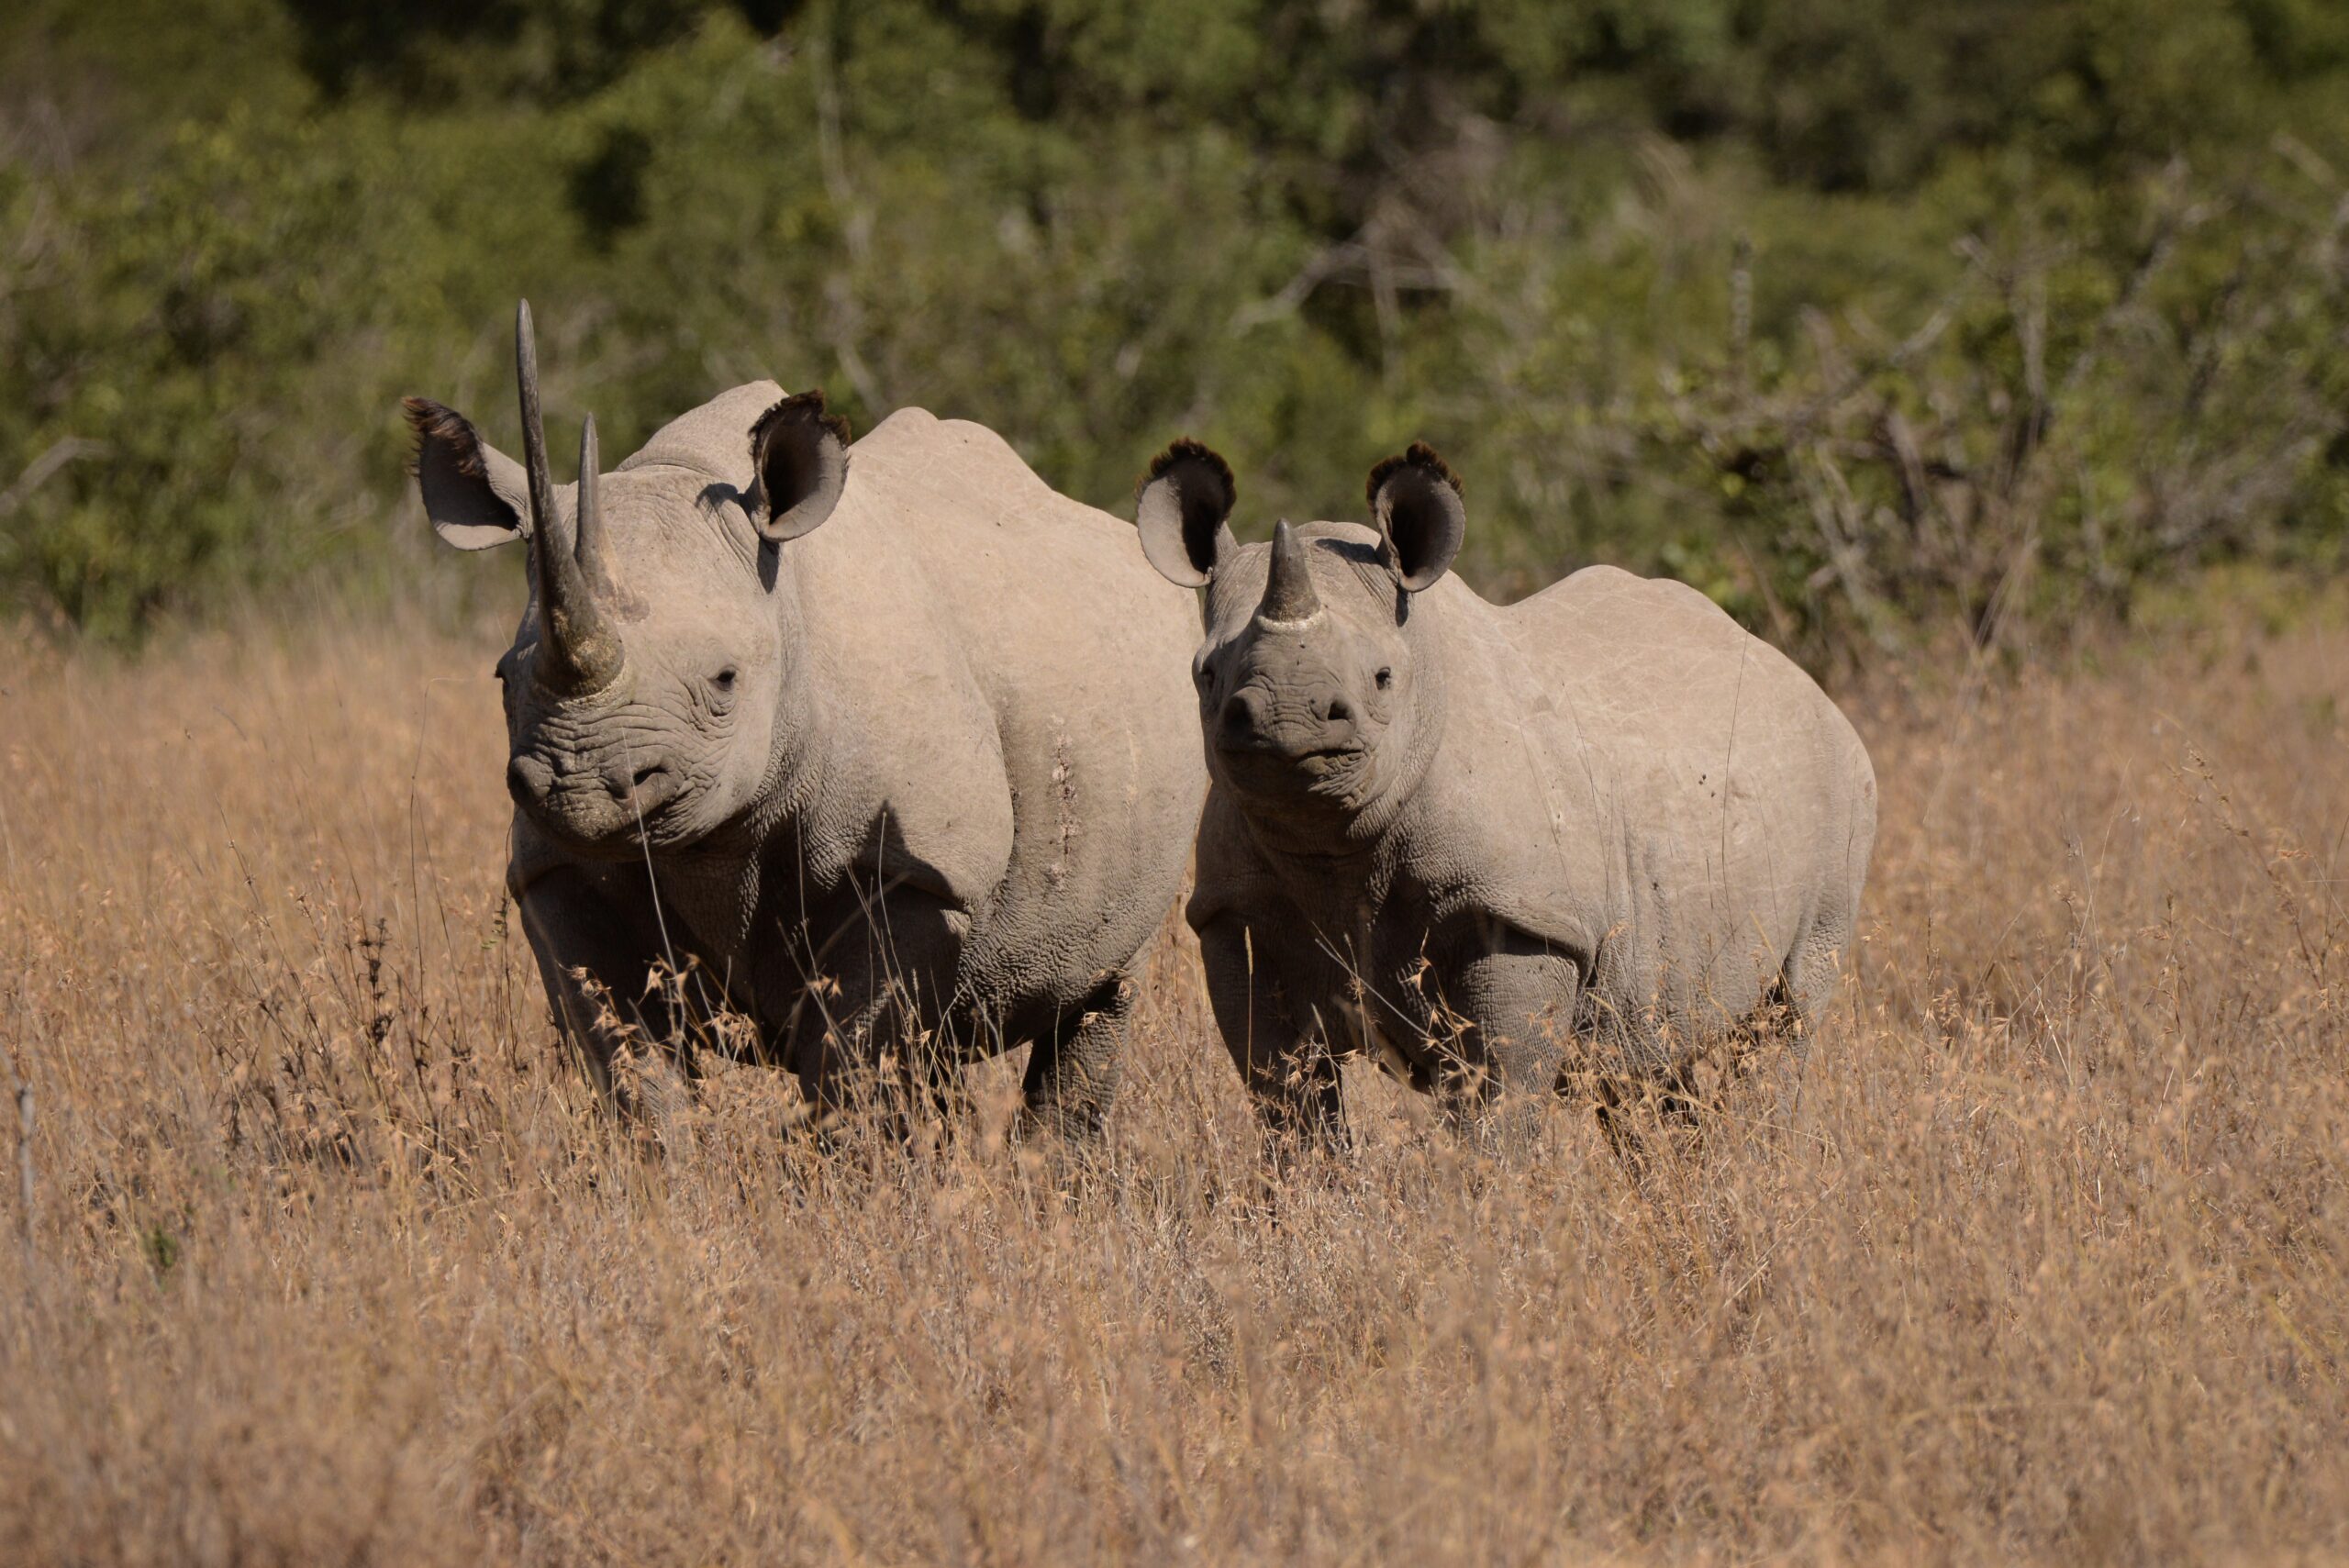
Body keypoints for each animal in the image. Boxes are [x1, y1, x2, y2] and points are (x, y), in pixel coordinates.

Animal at [402, 304, 1206, 1137]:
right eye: (504, 679)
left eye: (724, 681)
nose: (582, 788)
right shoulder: (553, 869)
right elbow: (633, 1068)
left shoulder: (918, 873)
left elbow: (853, 1070)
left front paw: (864, 1166)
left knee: (1102, 993)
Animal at [1132, 438, 1876, 1146]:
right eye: (1205, 675)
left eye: (1381, 678)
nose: (1286, 718)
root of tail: (1812, 688)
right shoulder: (1236, 909)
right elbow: (1285, 1096)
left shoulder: (1523, 915)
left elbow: (1496, 1101)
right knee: (1647, 1058)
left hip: (1844, 789)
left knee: (1786, 1020)